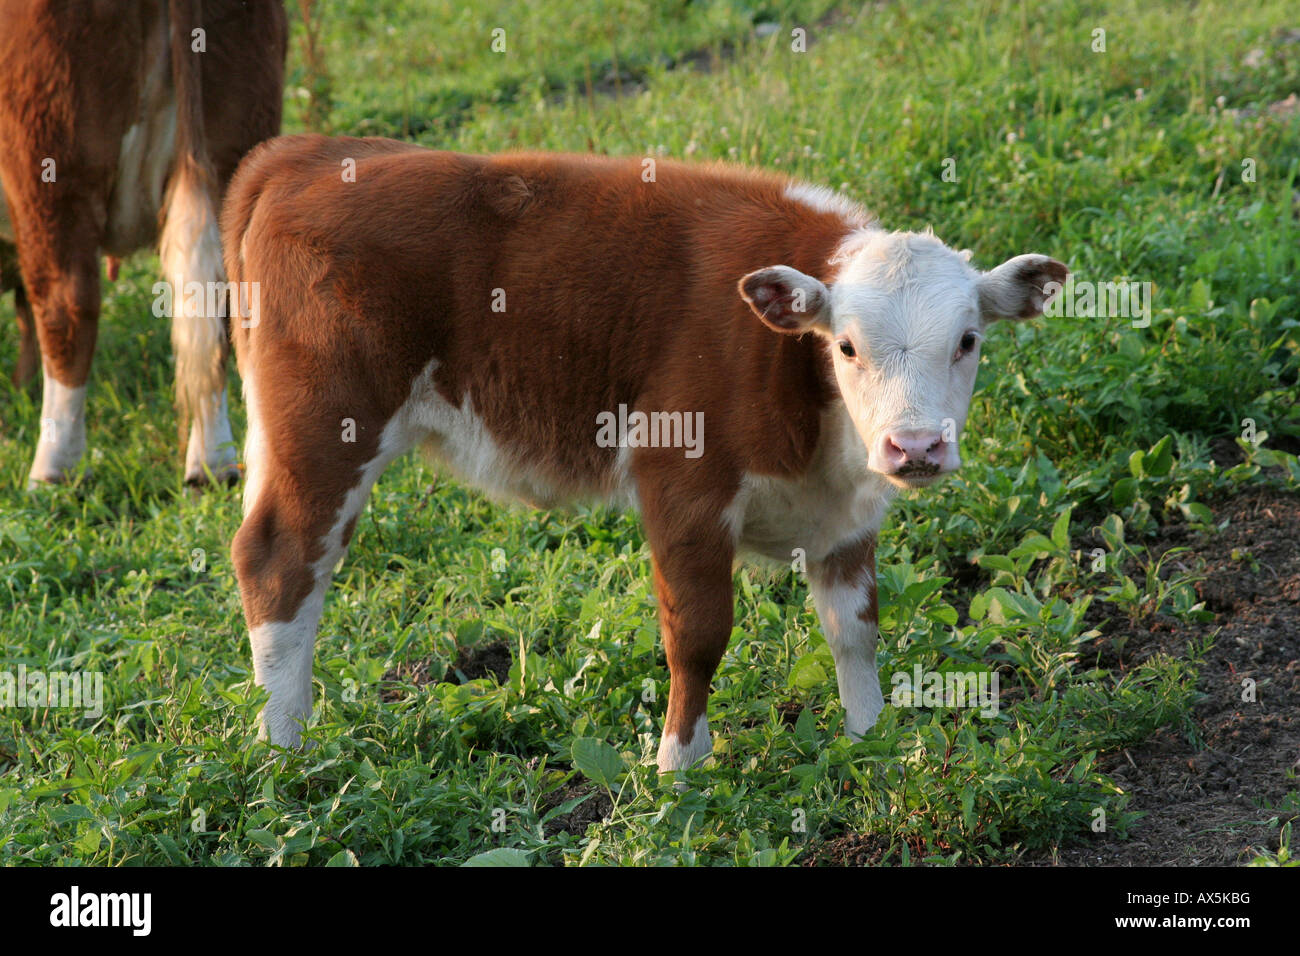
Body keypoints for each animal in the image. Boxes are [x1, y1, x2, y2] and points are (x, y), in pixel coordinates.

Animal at [0, 0, 286, 487]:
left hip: (51, 158)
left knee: (67, 305)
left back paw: (53, 470)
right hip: (236, 138)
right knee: (222, 304)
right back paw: (212, 465)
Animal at [224, 134, 1066, 773]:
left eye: (968, 340)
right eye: (848, 346)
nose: (915, 445)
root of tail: (303, 152)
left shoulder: (847, 517)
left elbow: (855, 627)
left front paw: (872, 739)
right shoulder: (681, 487)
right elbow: (697, 635)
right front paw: (679, 767)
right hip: (325, 428)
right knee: (280, 562)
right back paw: (285, 748)